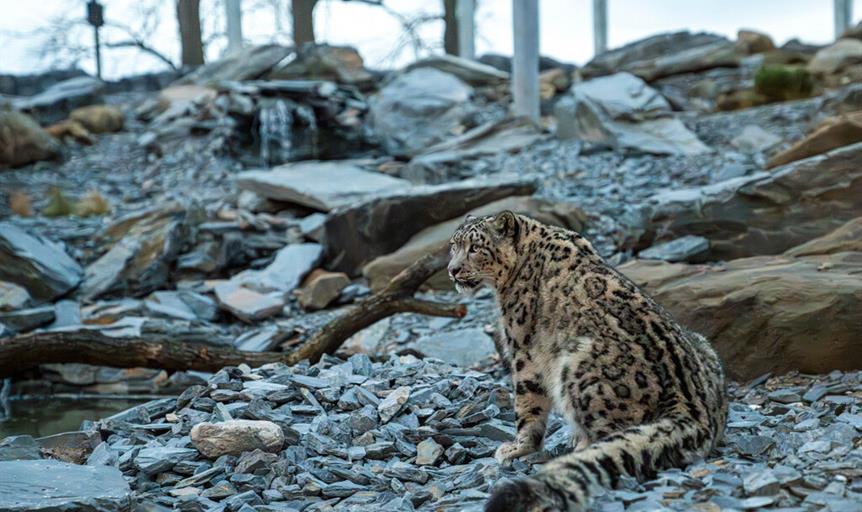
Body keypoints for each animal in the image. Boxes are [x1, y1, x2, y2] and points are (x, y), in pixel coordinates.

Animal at [447, 211, 728, 512]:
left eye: (476, 248)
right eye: (453, 245)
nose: (452, 270)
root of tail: (694, 408)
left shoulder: (523, 350)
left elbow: (526, 405)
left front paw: (517, 447)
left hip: (578, 367)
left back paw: (580, 448)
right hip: (702, 343)